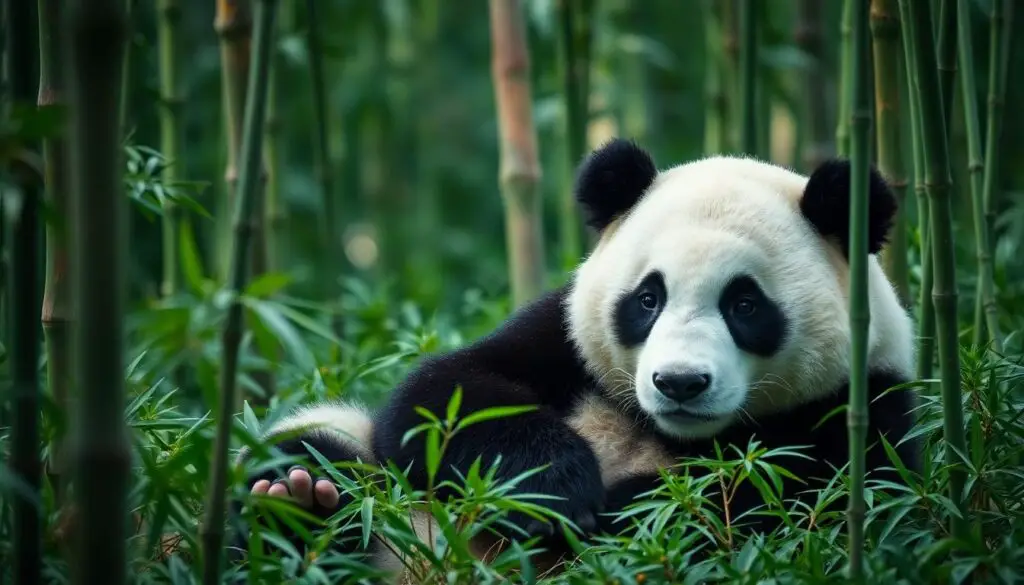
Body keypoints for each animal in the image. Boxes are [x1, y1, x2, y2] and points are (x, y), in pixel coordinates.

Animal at [229, 138, 919, 580]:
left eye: (745, 305)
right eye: (648, 298)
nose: (679, 383)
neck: (664, 431)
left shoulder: (862, 410)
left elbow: (762, 511)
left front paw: (623, 511)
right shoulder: (563, 339)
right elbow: (443, 399)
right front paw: (558, 492)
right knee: (322, 450)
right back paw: (296, 500)